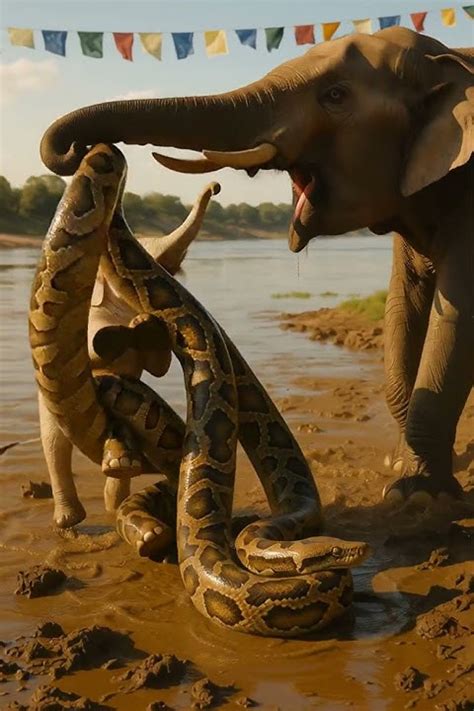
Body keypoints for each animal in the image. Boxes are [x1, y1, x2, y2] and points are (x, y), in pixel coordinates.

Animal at [38, 182, 220, 528]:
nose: (215, 187)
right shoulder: (93, 315)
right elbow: (90, 347)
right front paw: (114, 336)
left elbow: (158, 365)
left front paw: (146, 326)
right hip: (51, 410)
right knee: (55, 447)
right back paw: (68, 519)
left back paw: (116, 496)